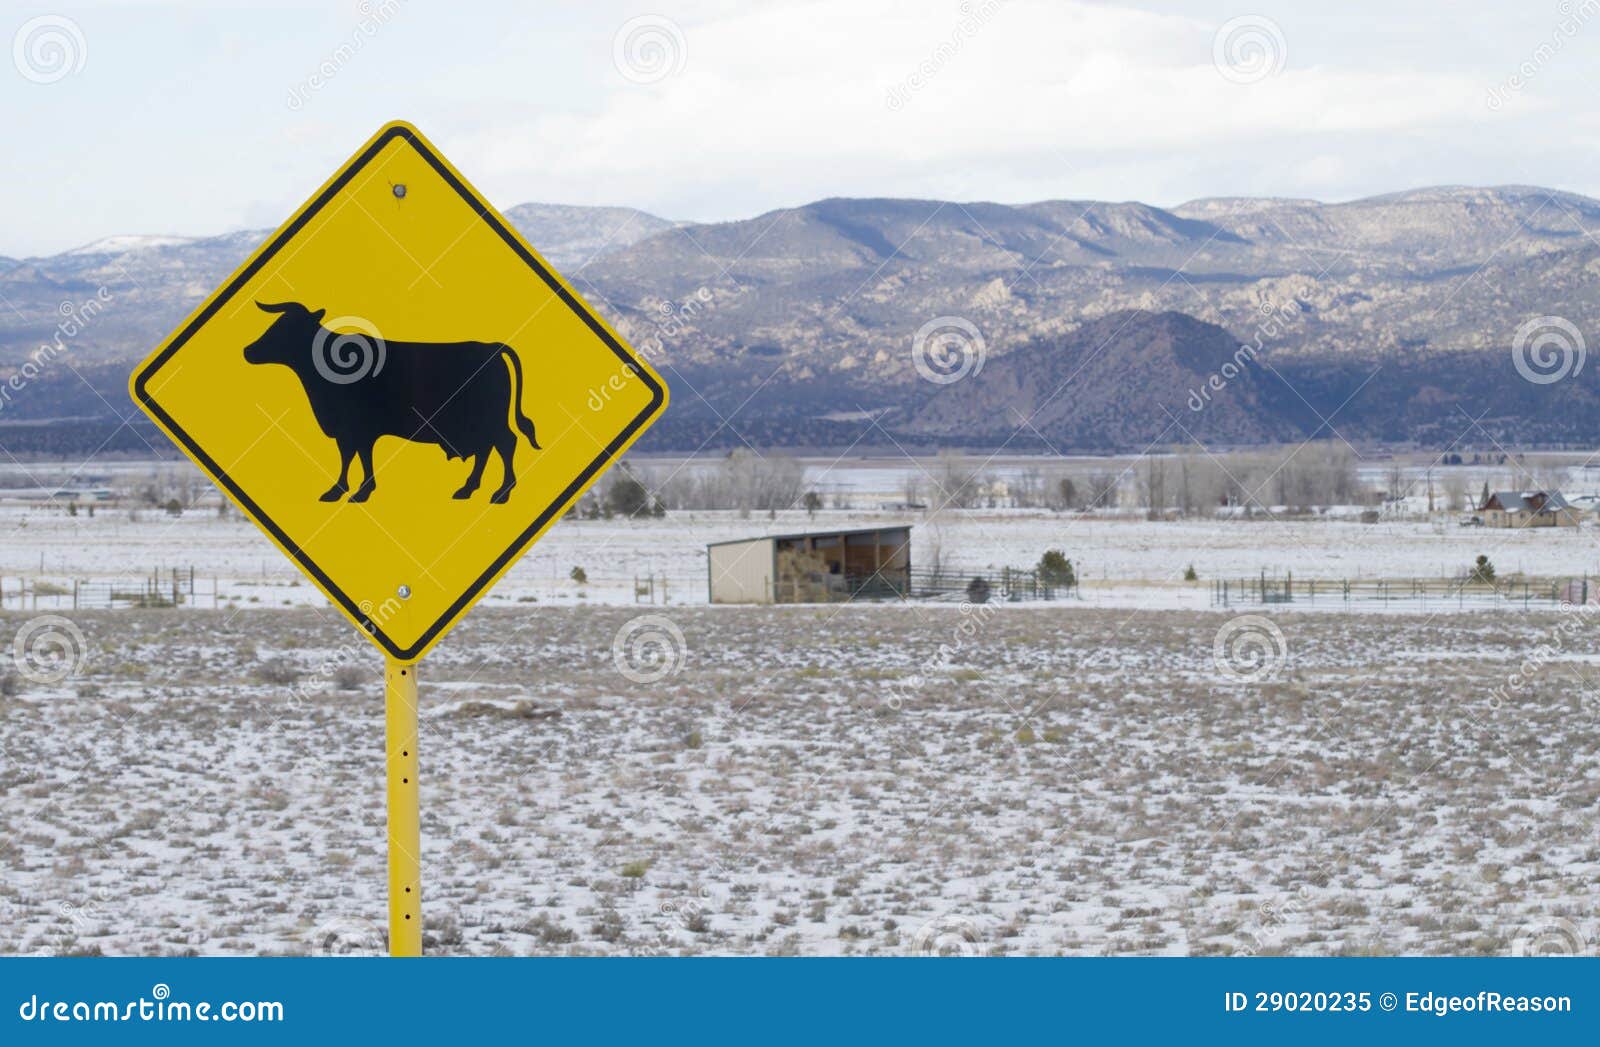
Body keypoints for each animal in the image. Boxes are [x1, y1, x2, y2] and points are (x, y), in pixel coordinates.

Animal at [243, 301, 539, 504]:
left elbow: (355, 456)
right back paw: (468, 488)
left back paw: (501, 492)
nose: (248, 350)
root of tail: (491, 347)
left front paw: (353, 491)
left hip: (490, 420)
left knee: (505, 443)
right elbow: (355, 456)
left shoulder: (355, 429)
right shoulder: (352, 431)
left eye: (286, 328)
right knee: (487, 450)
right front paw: (348, 490)